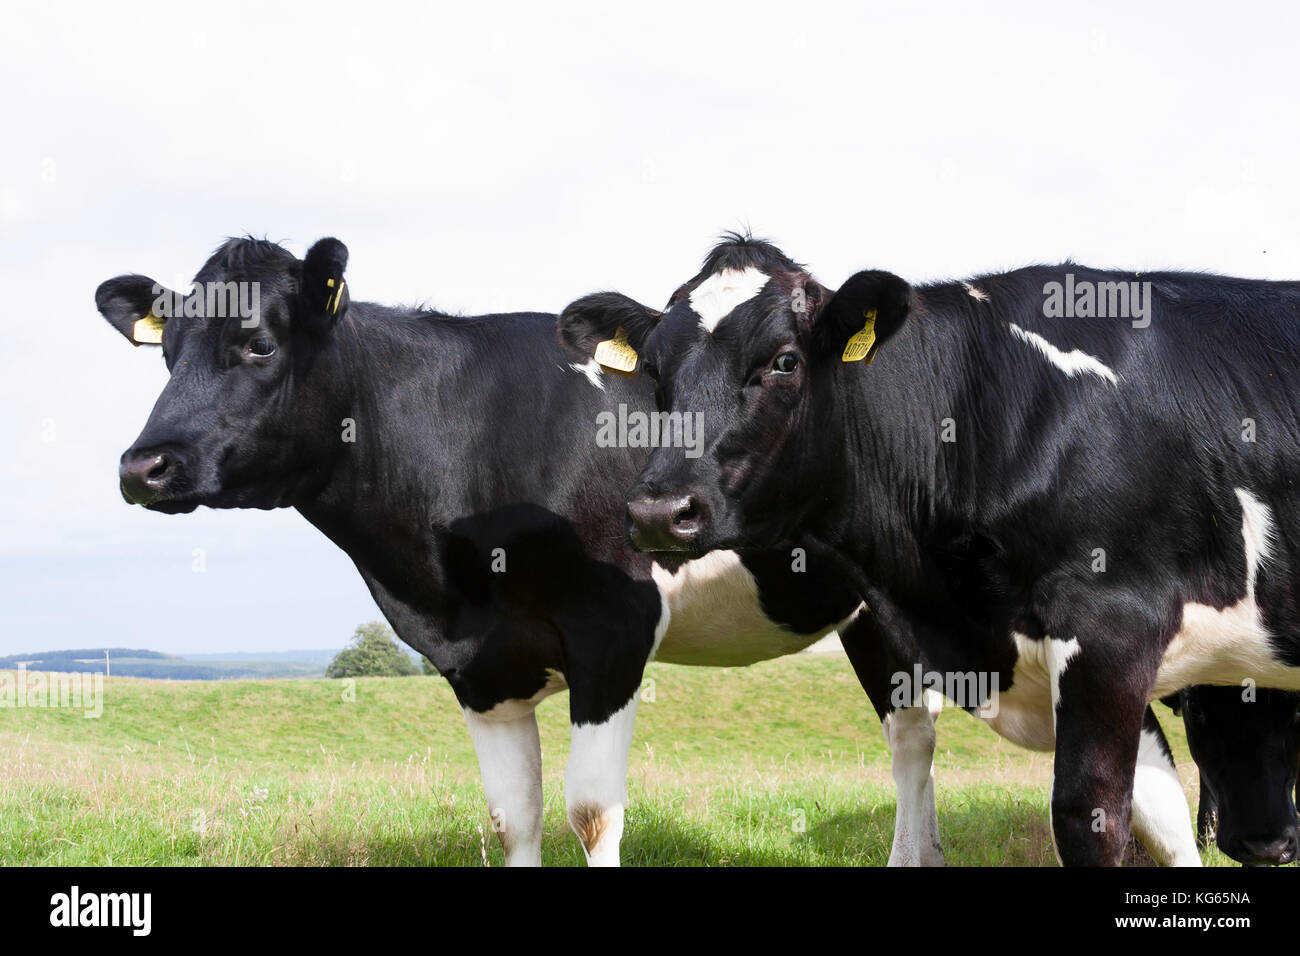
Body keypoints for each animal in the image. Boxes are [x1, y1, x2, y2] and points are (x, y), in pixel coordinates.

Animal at [95, 235, 949, 867]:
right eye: (167, 353)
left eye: (259, 345)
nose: (142, 467)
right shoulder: (480, 665)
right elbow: (513, 816)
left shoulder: (613, 625)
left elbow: (593, 812)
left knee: (911, 738)